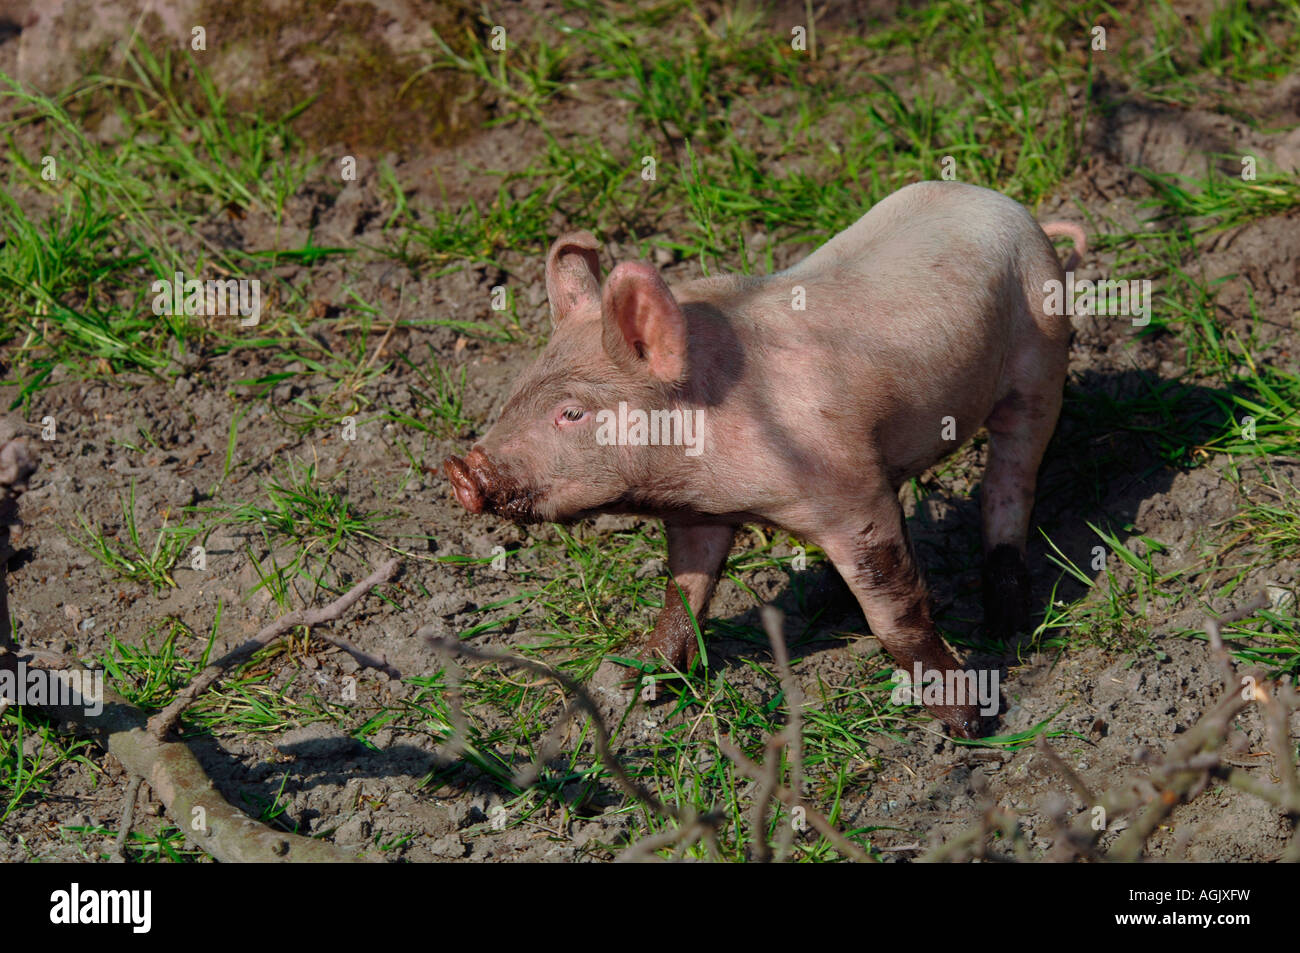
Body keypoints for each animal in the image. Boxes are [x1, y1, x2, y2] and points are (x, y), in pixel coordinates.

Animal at [444, 180, 1086, 738]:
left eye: (573, 413)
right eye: (519, 389)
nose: (462, 470)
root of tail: (1015, 208)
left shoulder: (851, 492)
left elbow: (894, 611)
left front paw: (968, 725)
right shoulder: (699, 515)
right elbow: (684, 590)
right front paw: (641, 685)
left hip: (1041, 356)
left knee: (1011, 479)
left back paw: (1006, 623)